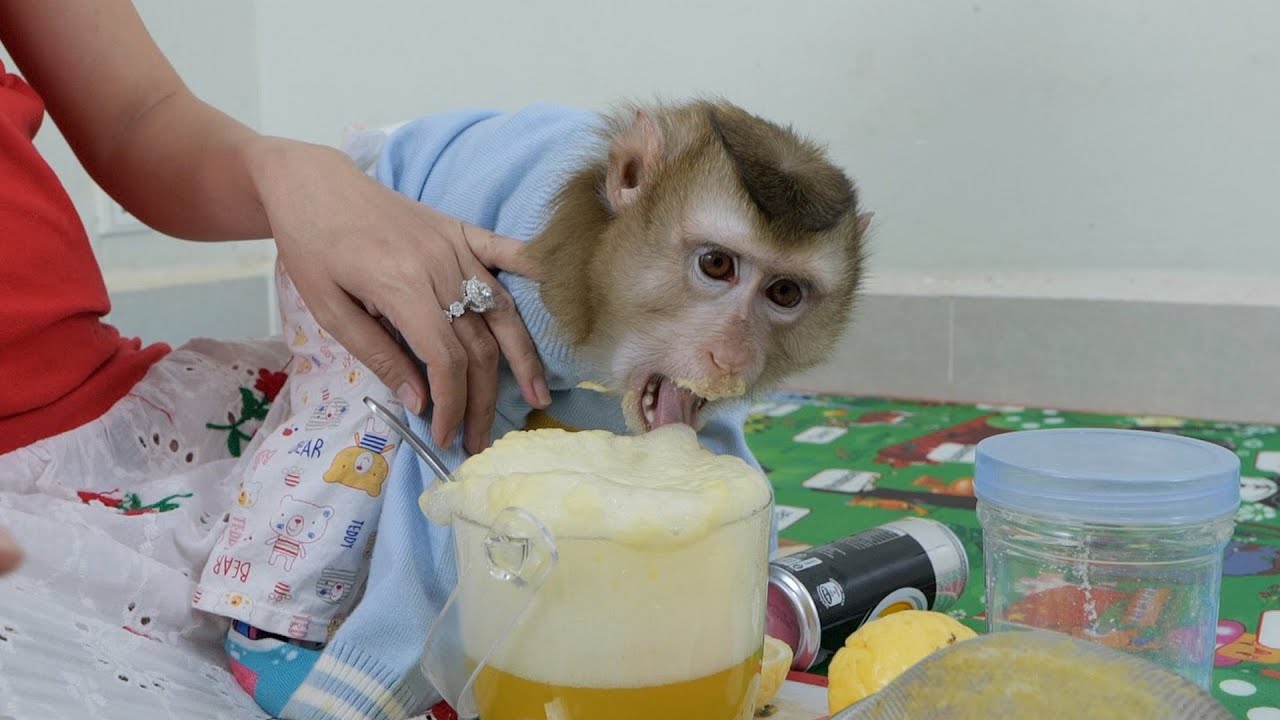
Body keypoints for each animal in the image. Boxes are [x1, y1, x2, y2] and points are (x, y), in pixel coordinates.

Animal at [193, 97, 871, 719]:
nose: (732, 358)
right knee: (354, 424)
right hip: (326, 286)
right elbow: (440, 456)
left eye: (785, 293)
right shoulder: (506, 308)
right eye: (716, 264)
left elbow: (721, 455)